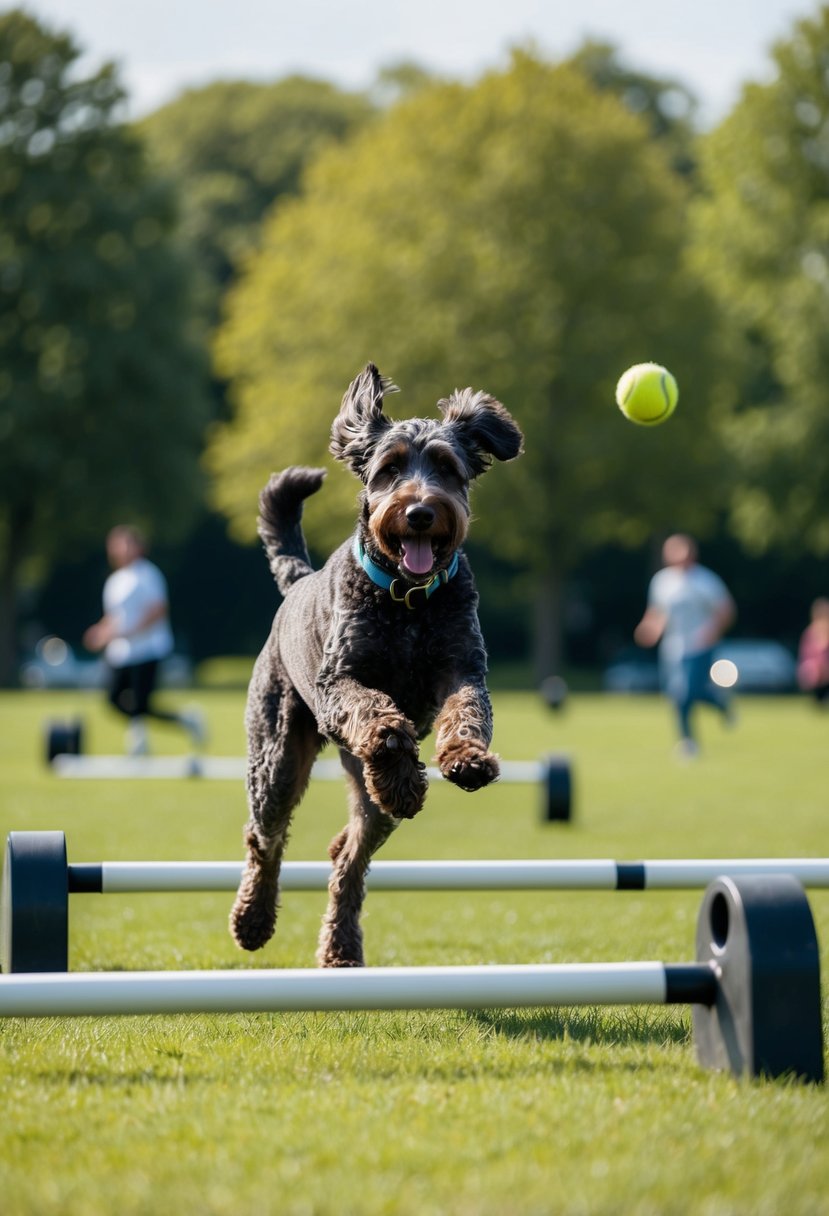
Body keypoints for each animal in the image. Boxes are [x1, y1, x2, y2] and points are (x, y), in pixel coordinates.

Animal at [229, 359, 520, 967]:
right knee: (265, 838)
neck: (407, 601)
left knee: (349, 856)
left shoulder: (463, 667)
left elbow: (465, 711)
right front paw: (390, 738)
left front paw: (465, 758)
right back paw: (252, 920)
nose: (420, 511)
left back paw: (341, 946)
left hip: (362, 800)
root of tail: (298, 582)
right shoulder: (339, 680)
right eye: (389, 468)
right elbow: (371, 706)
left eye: (447, 467)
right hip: (277, 757)